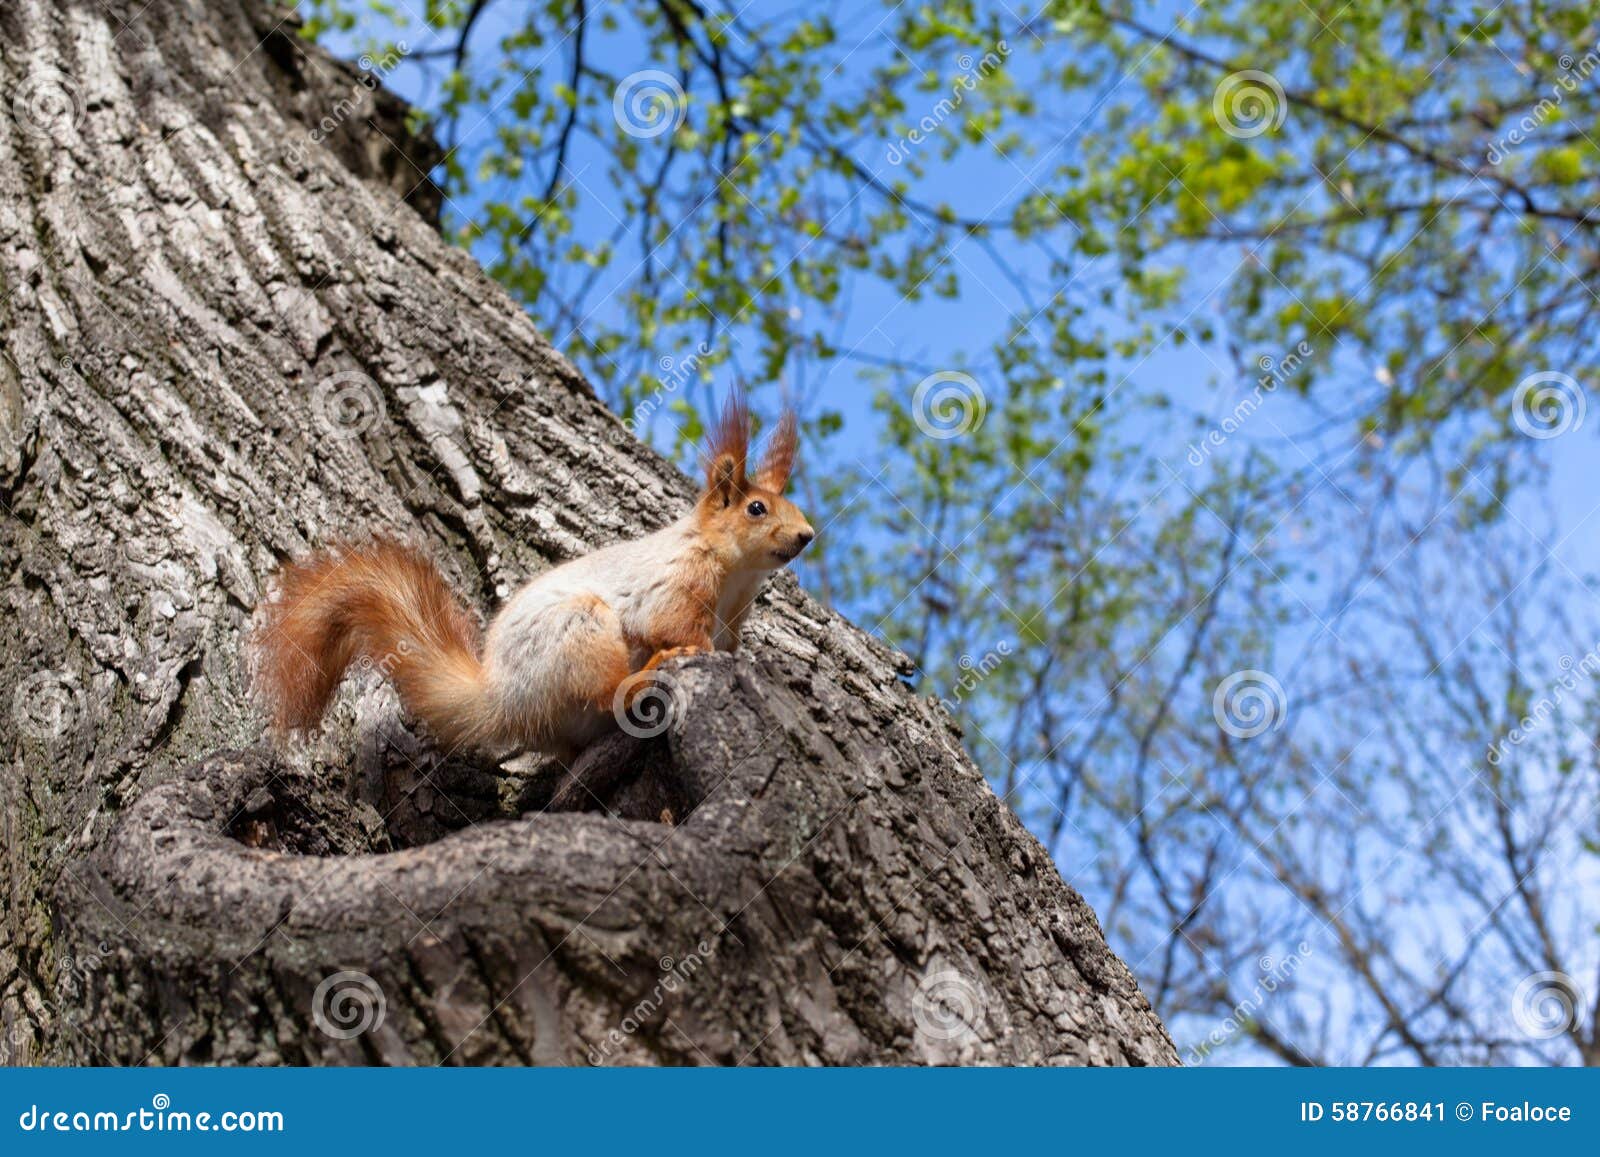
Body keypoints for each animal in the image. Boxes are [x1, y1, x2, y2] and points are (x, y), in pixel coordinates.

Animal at [250, 393, 814, 762]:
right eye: (757, 509)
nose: (808, 535)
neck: (736, 575)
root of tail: (501, 699)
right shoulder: (675, 583)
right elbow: (672, 622)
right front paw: (697, 650)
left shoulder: (735, 612)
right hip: (577, 632)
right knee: (605, 690)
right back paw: (642, 674)